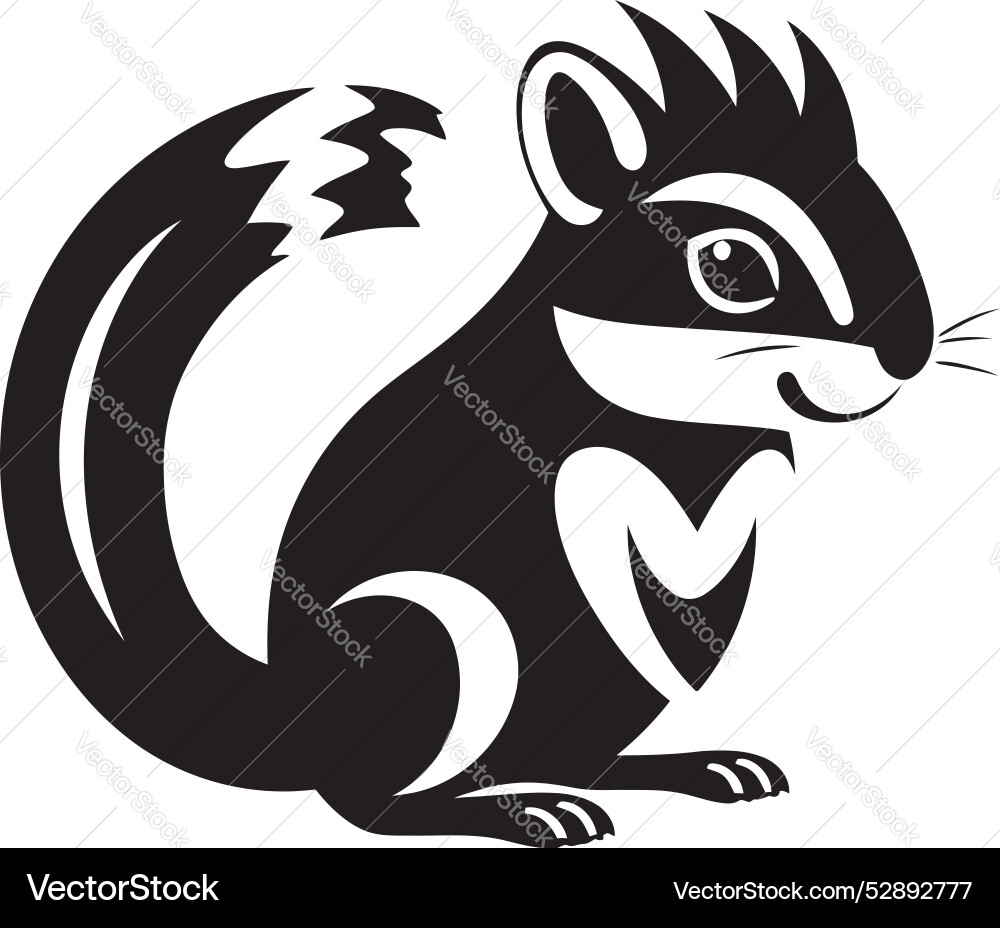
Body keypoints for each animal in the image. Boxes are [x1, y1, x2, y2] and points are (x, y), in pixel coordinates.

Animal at [1, 6, 934, 847]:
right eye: (730, 263)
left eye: (881, 217)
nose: (908, 353)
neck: (689, 425)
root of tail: (294, 725)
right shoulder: (565, 461)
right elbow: (633, 529)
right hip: (434, 642)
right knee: (364, 804)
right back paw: (521, 813)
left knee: (579, 754)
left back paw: (690, 767)